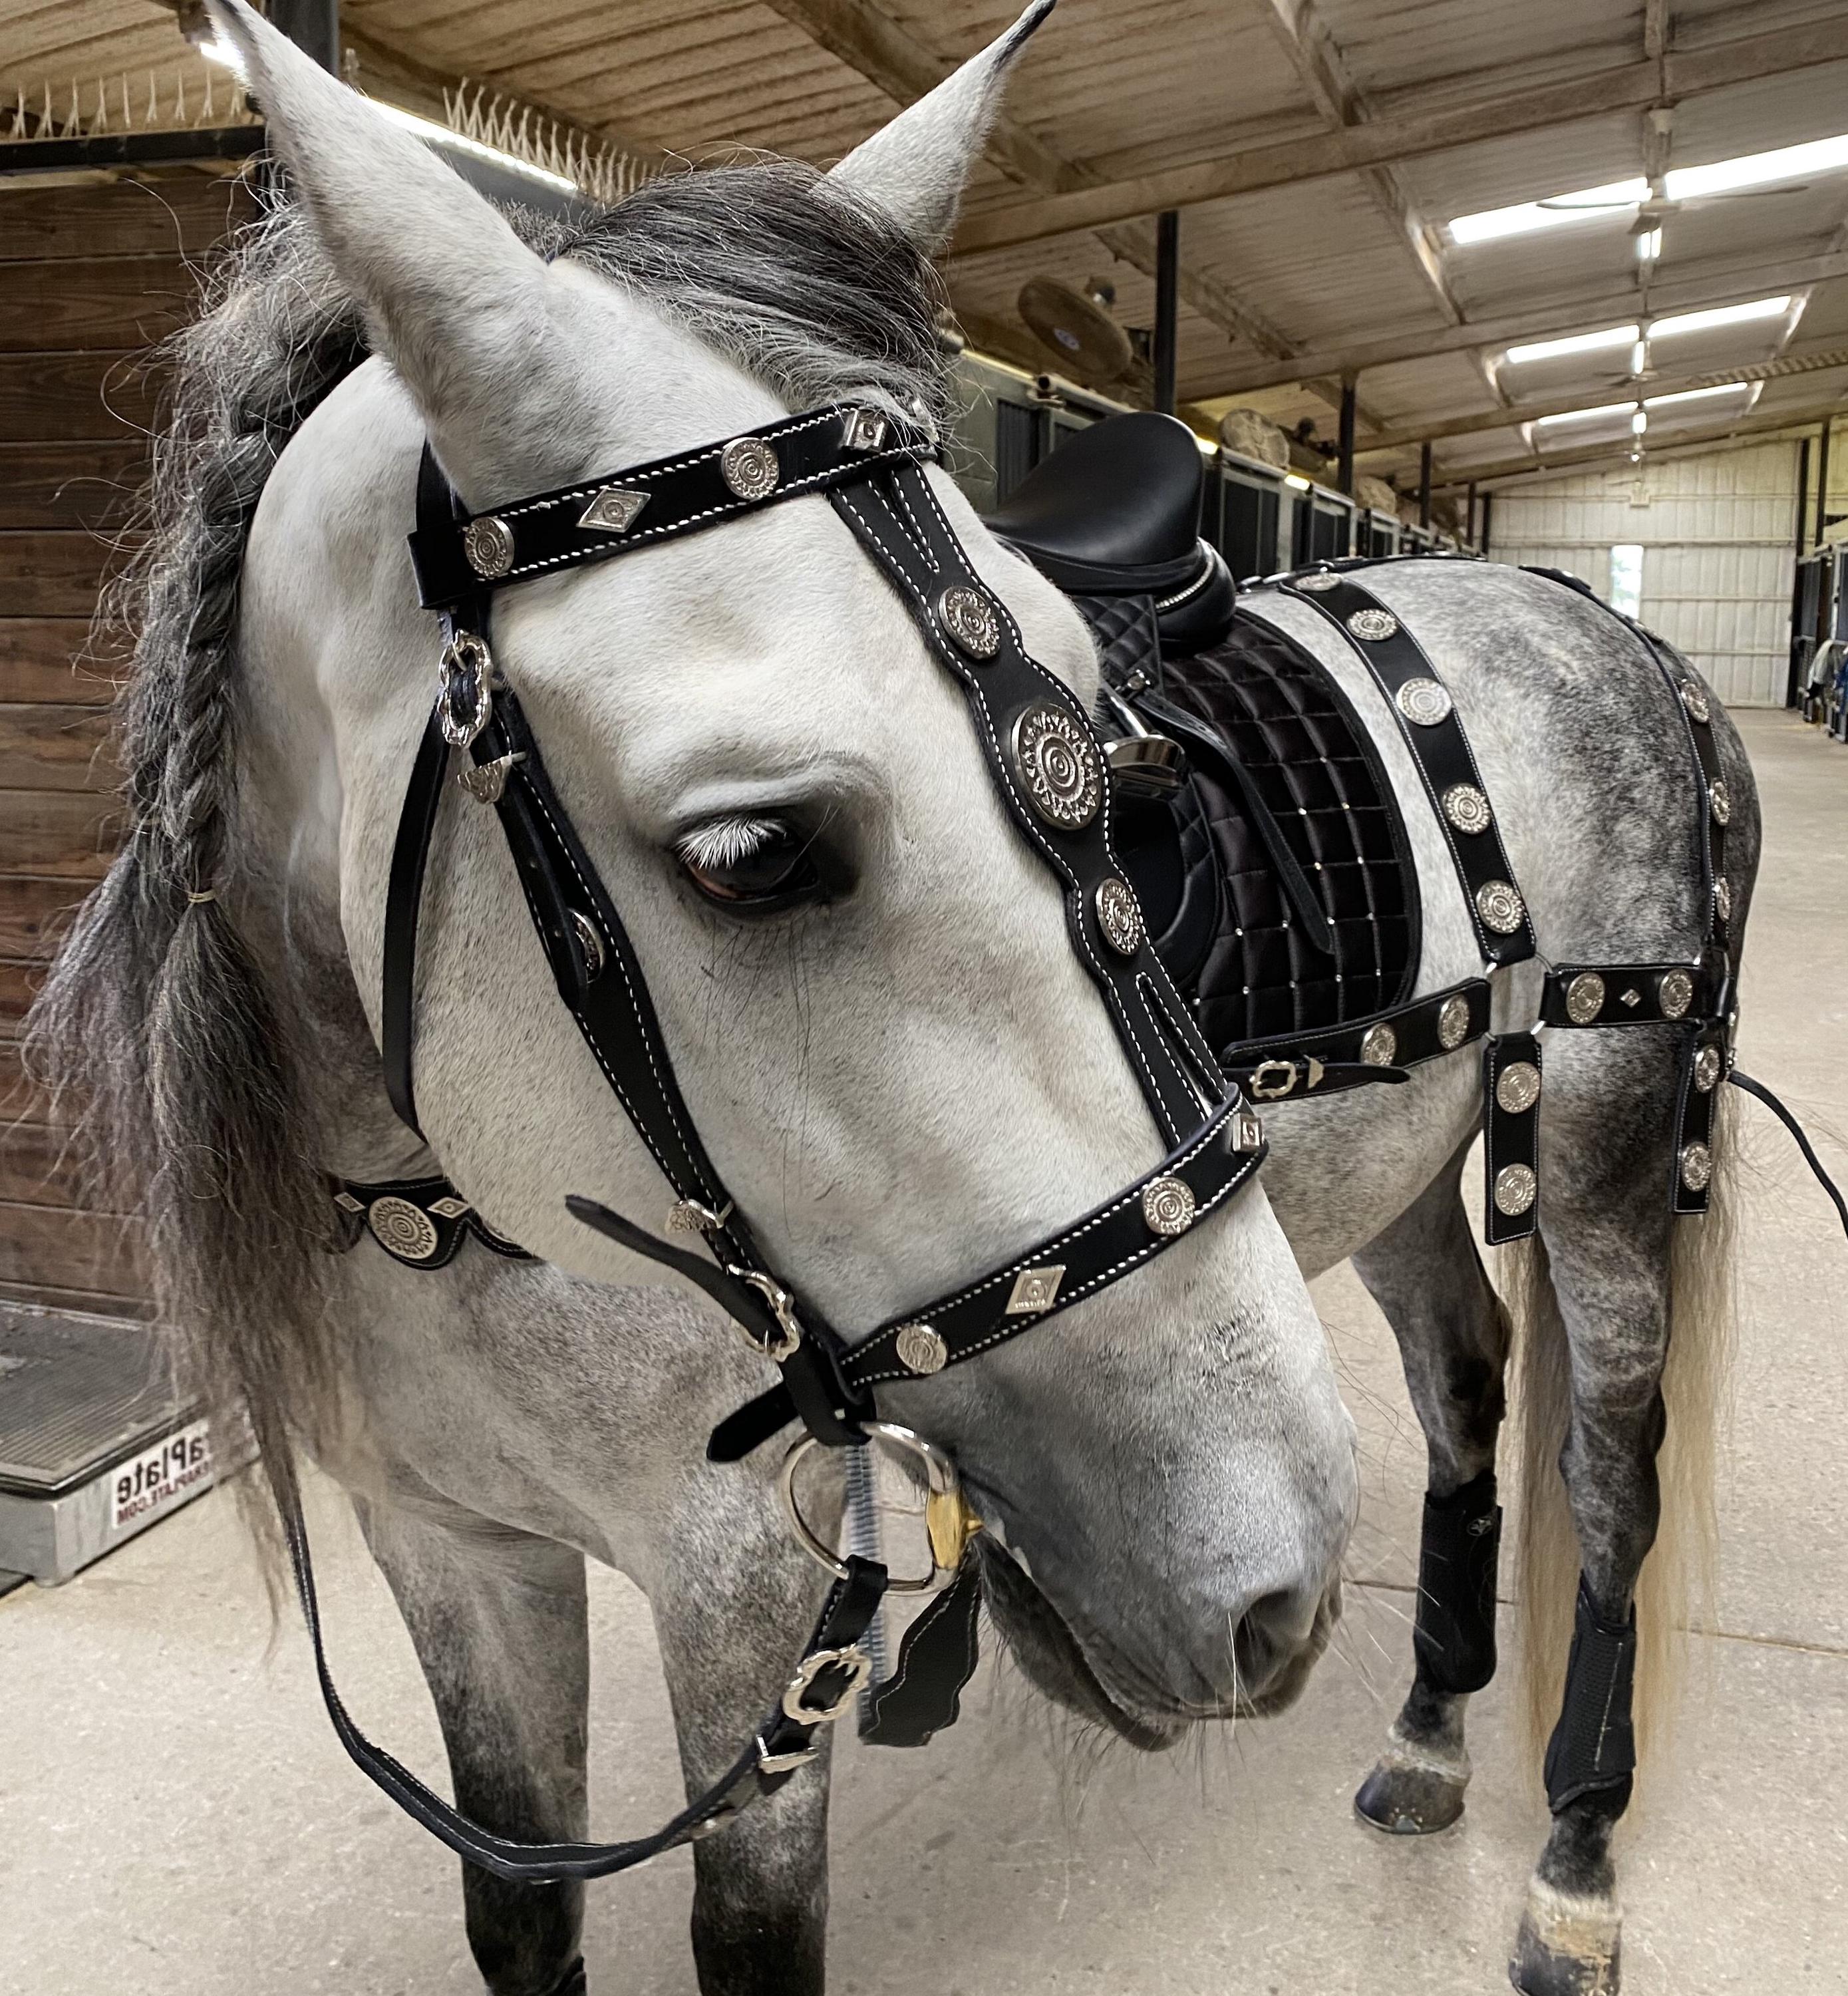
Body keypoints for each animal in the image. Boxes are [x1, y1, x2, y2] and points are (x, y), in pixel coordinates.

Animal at [26, 4, 1363, 1992]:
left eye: (1117, 766)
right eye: (753, 853)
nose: (1277, 1576)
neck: (456, 1231)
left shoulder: (742, 1591)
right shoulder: (454, 1552)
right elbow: (518, 1900)